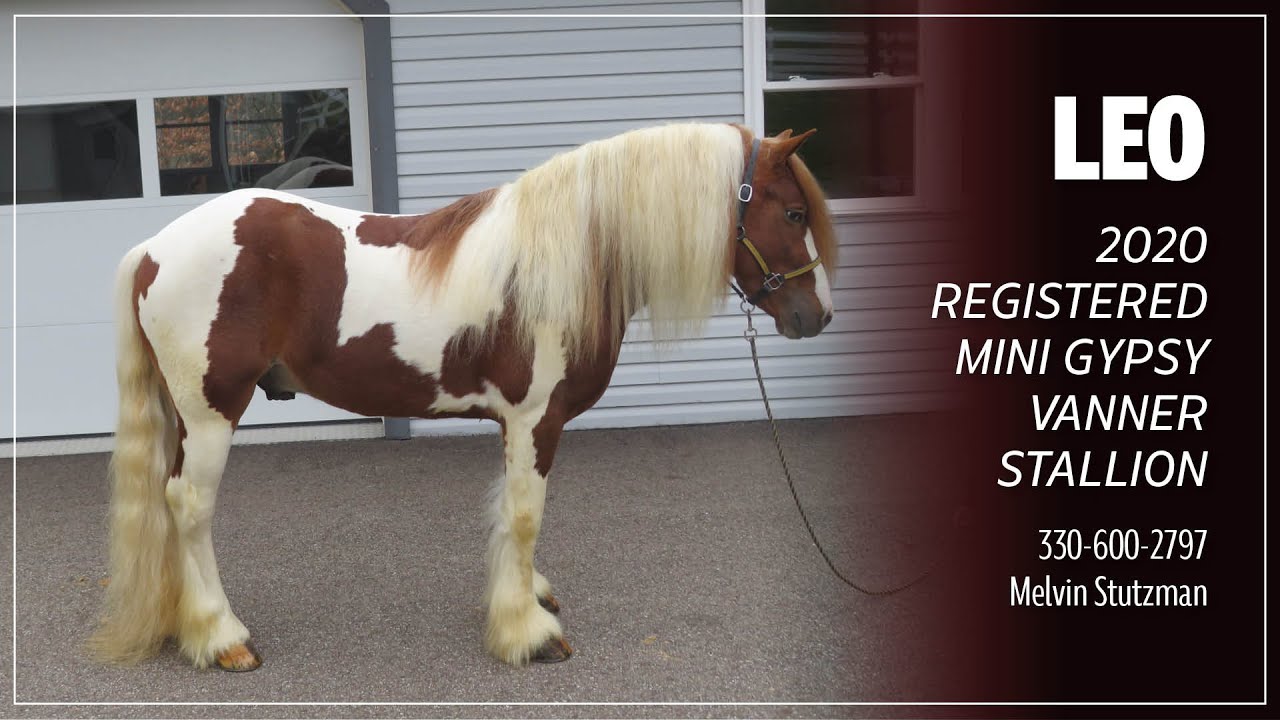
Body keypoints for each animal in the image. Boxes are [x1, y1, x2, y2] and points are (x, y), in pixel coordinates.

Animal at [87, 122, 837, 671]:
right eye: (794, 210)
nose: (819, 316)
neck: (566, 257)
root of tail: (153, 247)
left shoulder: (515, 422)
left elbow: (509, 512)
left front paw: (525, 600)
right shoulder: (537, 418)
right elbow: (528, 515)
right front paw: (530, 634)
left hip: (188, 416)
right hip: (213, 409)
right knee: (190, 506)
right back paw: (222, 637)